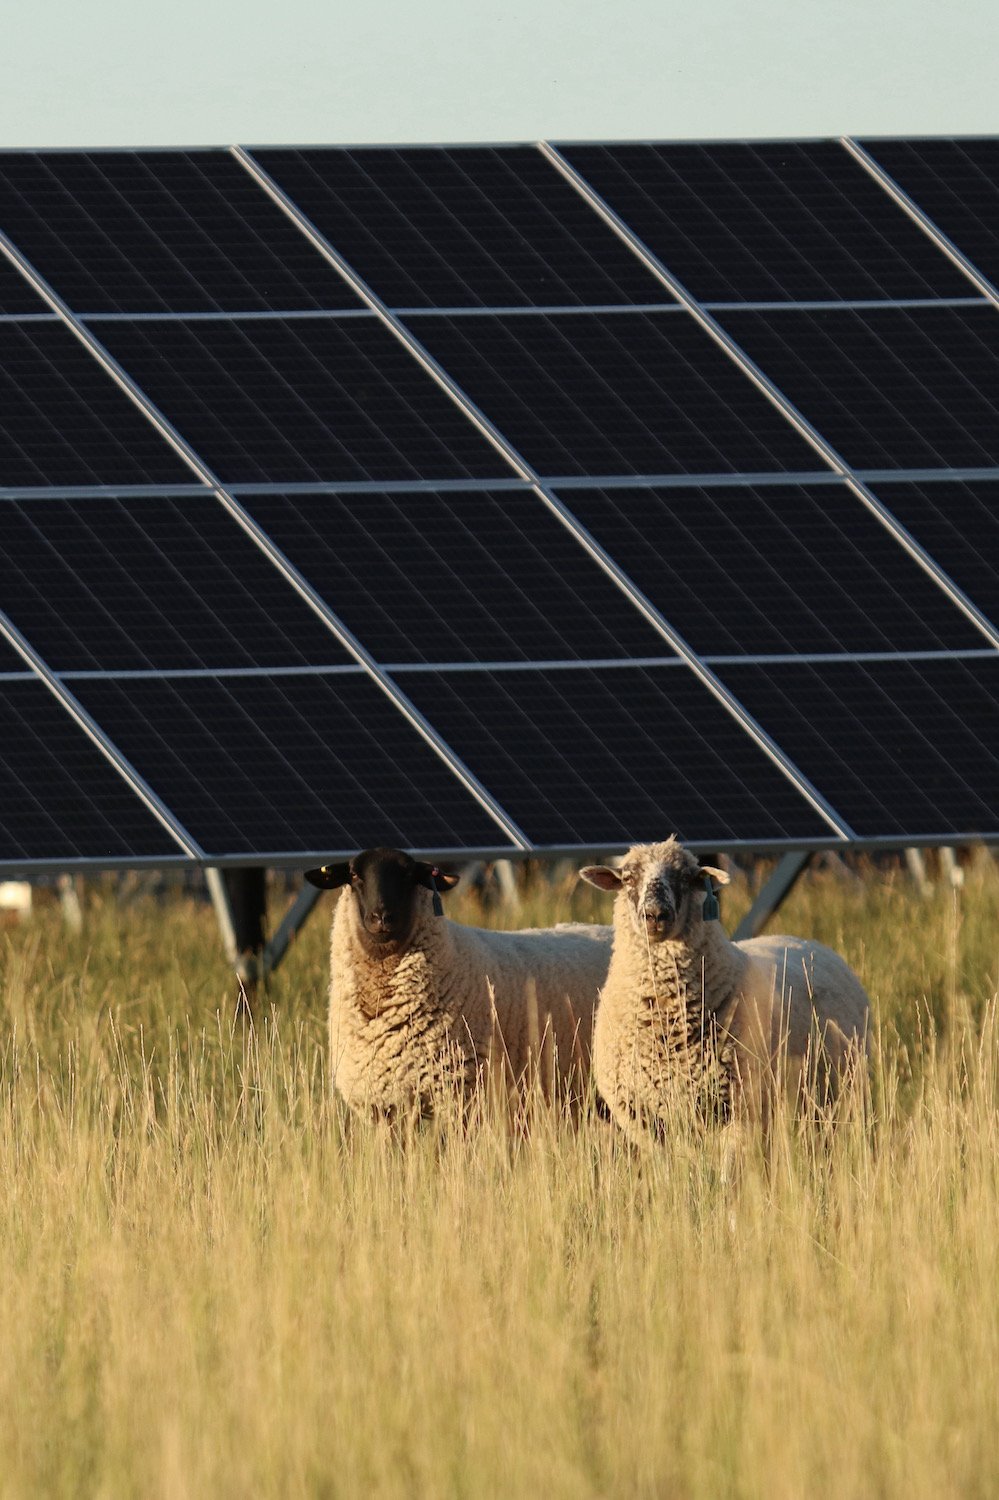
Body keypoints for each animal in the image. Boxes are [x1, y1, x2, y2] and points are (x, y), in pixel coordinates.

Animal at [580, 838, 870, 1145]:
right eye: (628, 878)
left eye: (687, 877)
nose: (655, 915)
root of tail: (812, 943)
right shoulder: (644, 1119)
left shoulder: (739, 1110)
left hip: (842, 1097)